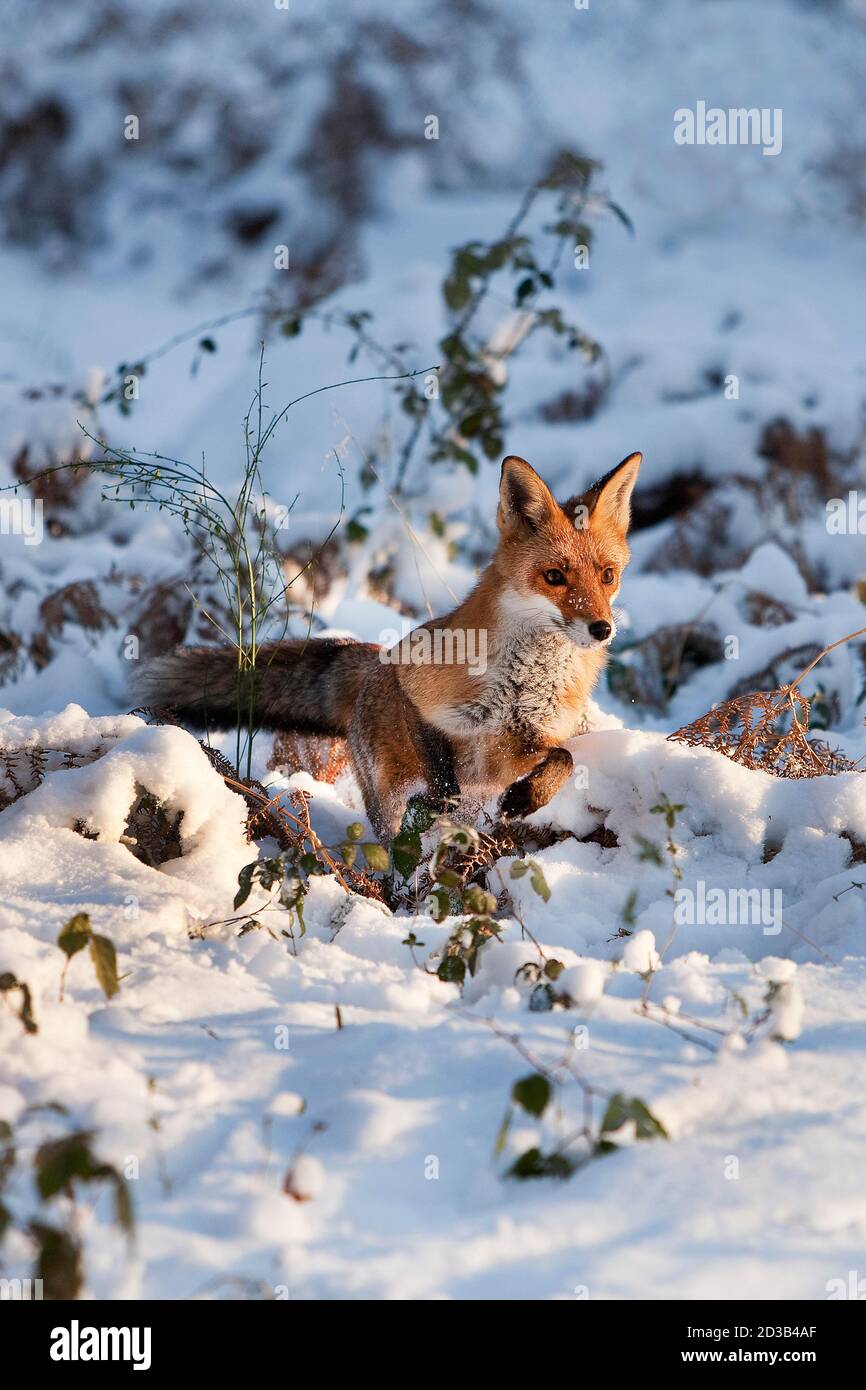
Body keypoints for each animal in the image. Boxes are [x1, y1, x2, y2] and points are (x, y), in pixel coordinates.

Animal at [137, 452, 642, 841]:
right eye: (554, 576)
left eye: (607, 576)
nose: (601, 628)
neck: (523, 681)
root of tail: (370, 661)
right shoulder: (416, 686)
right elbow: (439, 765)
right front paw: (444, 794)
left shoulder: (519, 745)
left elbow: (563, 758)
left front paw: (527, 797)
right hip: (387, 792)